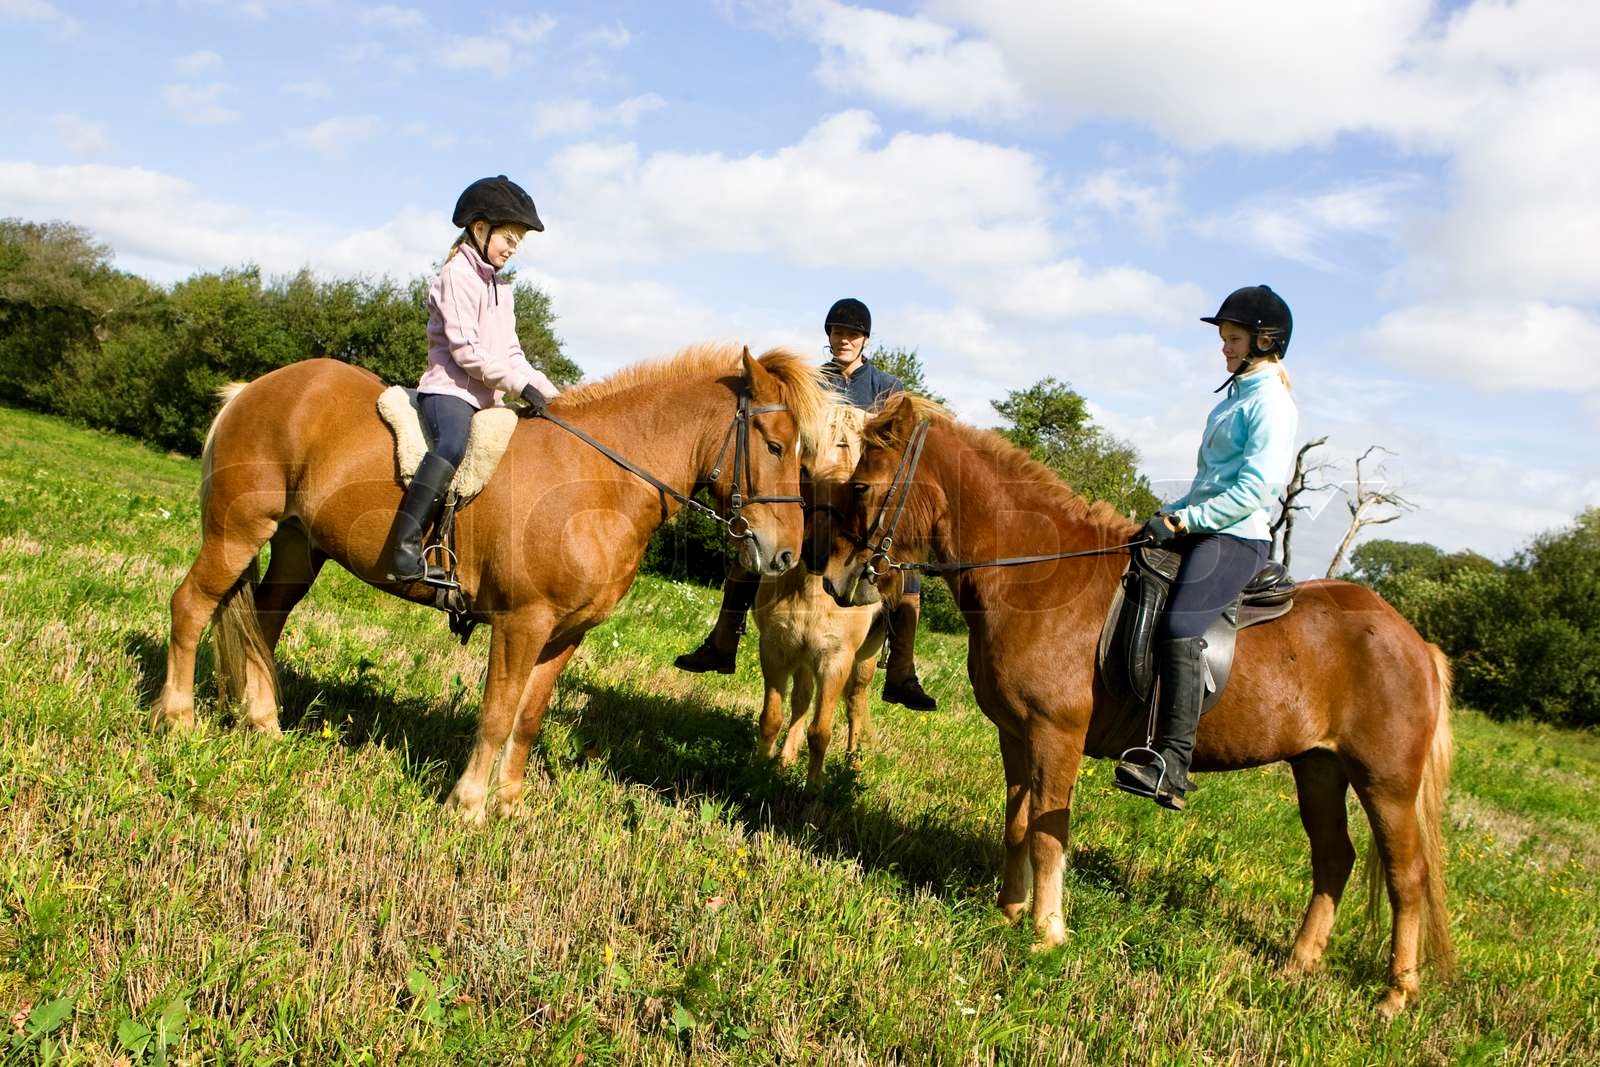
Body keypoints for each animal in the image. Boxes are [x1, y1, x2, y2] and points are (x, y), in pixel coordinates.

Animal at [151, 346, 836, 825]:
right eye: (776, 446)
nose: (785, 555)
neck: (596, 482)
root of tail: (257, 388)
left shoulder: (564, 635)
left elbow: (528, 718)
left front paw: (509, 804)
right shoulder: (521, 622)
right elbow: (498, 712)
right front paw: (470, 803)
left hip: (297, 545)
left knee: (263, 621)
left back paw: (261, 722)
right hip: (238, 531)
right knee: (191, 606)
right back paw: (178, 719)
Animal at [751, 403, 887, 792]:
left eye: (859, 487)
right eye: (804, 471)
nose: (818, 552)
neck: (811, 592)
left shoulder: (835, 660)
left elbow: (821, 731)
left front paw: (813, 790)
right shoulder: (777, 650)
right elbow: (773, 716)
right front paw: (759, 770)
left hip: (865, 661)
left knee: (855, 704)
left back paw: (853, 765)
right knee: (801, 700)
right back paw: (785, 758)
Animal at [817, 395, 1455, 1017]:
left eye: (861, 487)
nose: (833, 582)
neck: (1036, 579)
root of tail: (1415, 643)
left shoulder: (1055, 734)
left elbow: (1048, 831)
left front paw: (1047, 933)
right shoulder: (1016, 733)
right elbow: (1018, 822)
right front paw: (1009, 911)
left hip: (1385, 782)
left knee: (1406, 875)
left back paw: (1395, 995)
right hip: (1319, 769)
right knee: (1334, 858)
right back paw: (1298, 965)